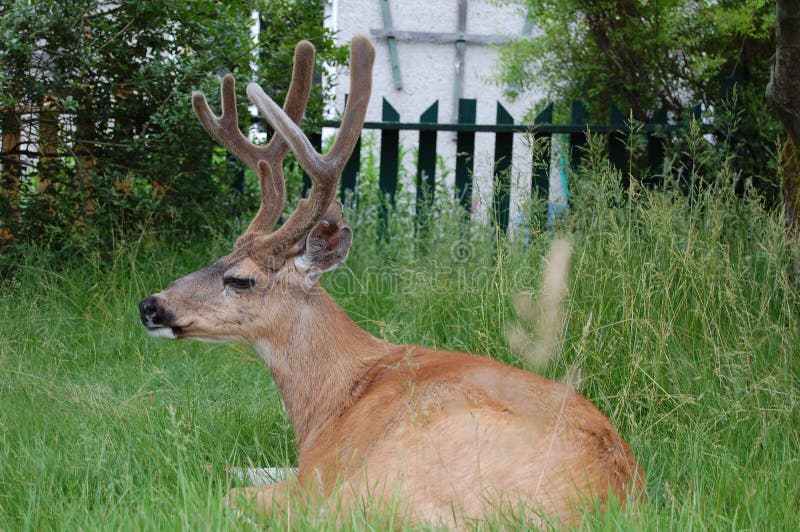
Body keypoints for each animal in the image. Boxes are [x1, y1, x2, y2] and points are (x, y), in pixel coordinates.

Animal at [138, 36, 645, 527]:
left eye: (241, 280)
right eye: (218, 256)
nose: (150, 305)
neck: (328, 401)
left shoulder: (320, 470)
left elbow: (232, 484)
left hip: (389, 474)